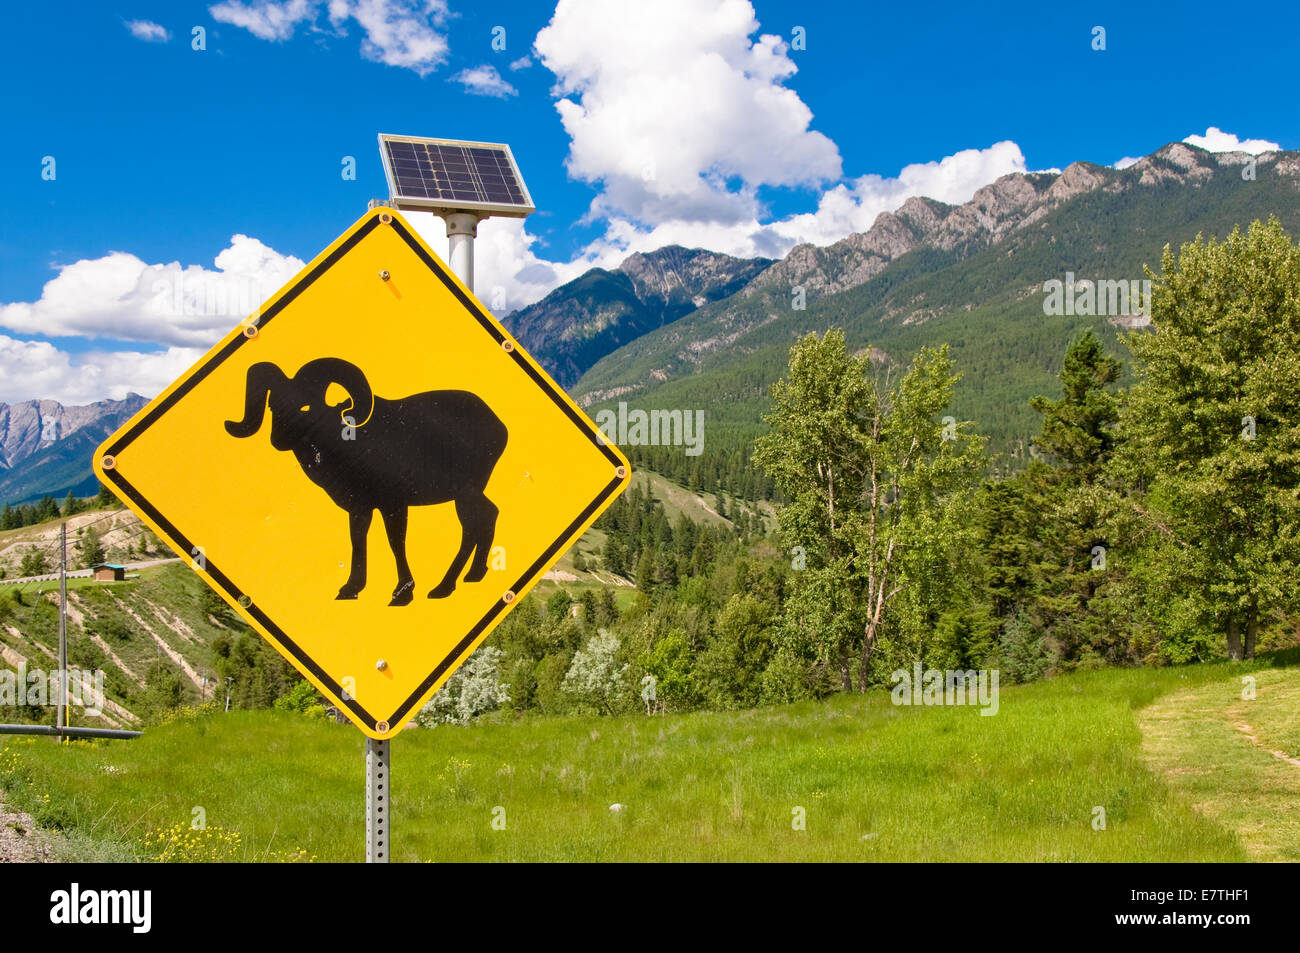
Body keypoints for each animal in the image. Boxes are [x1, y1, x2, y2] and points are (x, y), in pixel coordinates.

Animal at [224, 357, 508, 606]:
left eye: (305, 406)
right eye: (273, 406)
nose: (278, 440)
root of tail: (500, 426)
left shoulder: (394, 504)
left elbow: (396, 543)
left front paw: (402, 594)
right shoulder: (360, 508)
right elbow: (358, 541)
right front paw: (350, 590)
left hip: (465, 494)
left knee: (472, 526)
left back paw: (444, 587)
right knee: (489, 515)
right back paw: (472, 576)